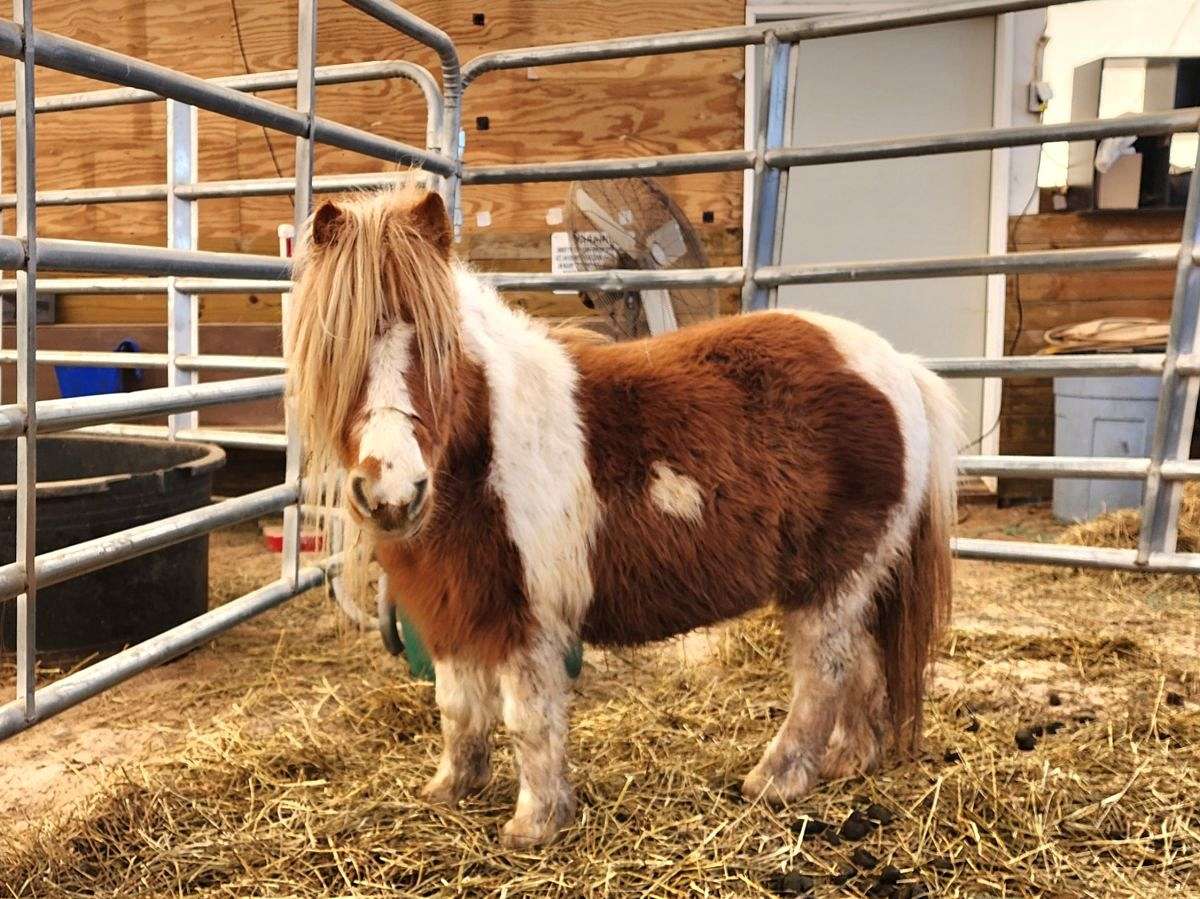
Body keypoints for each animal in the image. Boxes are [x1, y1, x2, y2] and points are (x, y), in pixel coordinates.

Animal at [285, 182, 961, 849]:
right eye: (334, 352)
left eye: (437, 348)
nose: (392, 491)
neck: (485, 451)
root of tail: (899, 367)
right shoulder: (452, 608)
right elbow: (457, 709)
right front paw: (452, 788)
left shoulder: (527, 618)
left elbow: (529, 720)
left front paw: (535, 823)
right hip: (855, 584)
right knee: (864, 664)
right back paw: (849, 759)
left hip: (832, 582)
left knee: (825, 674)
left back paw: (776, 779)